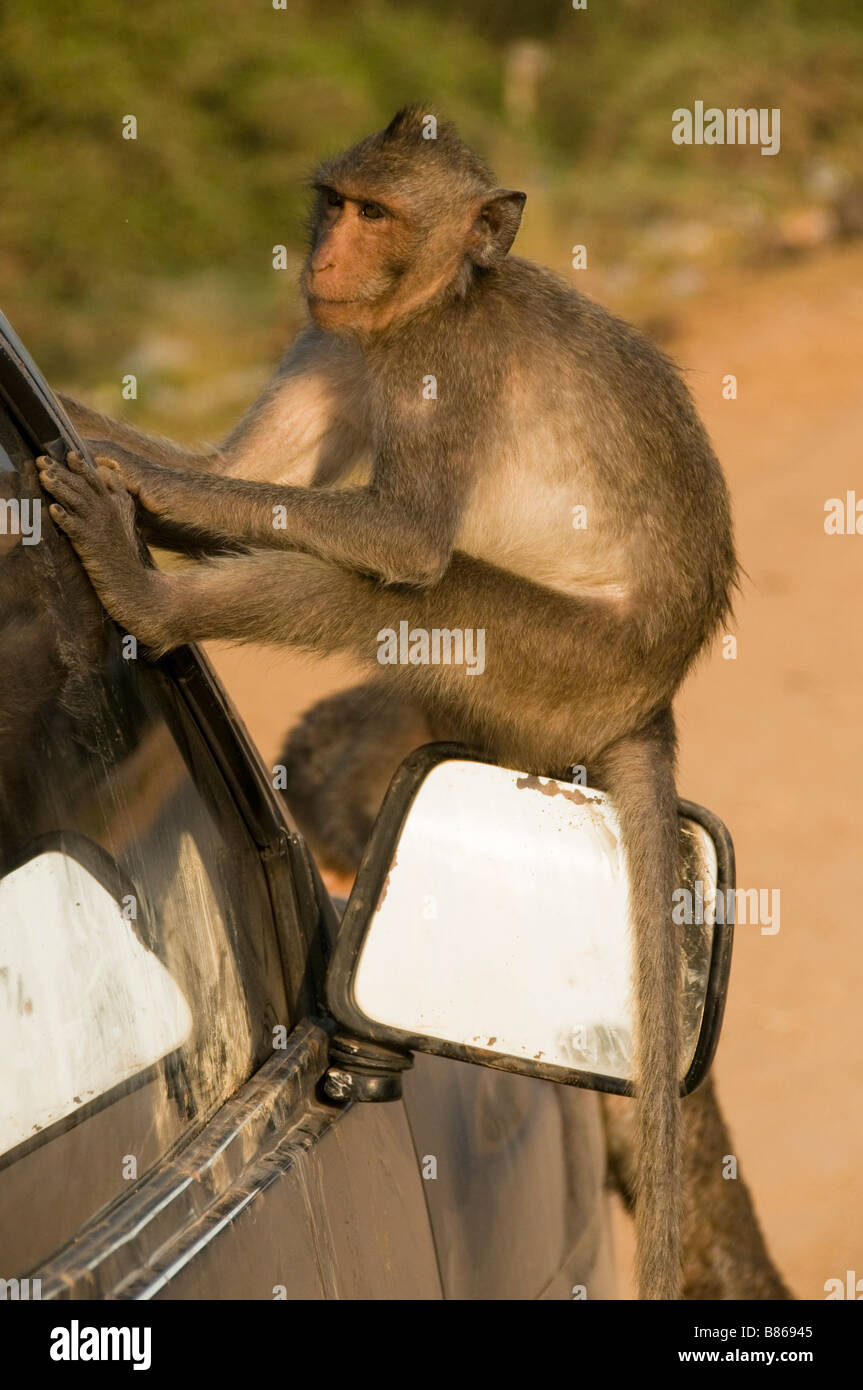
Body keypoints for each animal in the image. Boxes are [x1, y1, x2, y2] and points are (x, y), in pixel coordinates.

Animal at [37, 106, 788, 1300]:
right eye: (337, 201)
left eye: (378, 214)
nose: (325, 258)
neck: (428, 307)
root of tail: (651, 700)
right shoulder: (334, 340)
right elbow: (246, 471)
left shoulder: (445, 368)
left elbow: (402, 542)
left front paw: (131, 480)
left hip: (554, 661)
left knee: (407, 587)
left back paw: (143, 595)